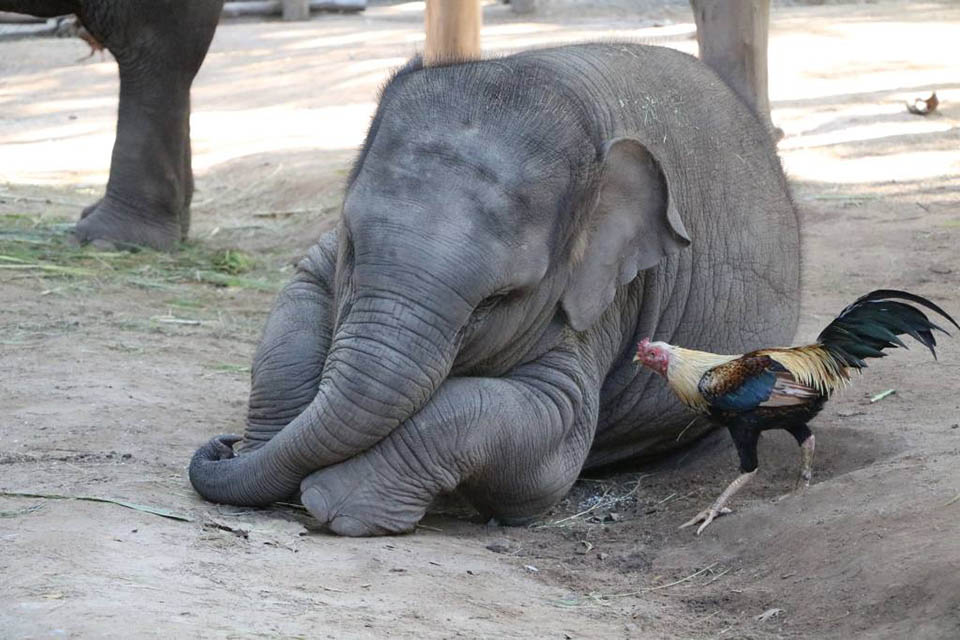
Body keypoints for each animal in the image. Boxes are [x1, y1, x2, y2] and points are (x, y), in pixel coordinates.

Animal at [188, 42, 801, 536]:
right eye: (353, 246)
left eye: (496, 299)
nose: (221, 445)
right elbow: (295, 312)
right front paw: (264, 448)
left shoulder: (602, 297)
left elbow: (547, 435)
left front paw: (332, 501)